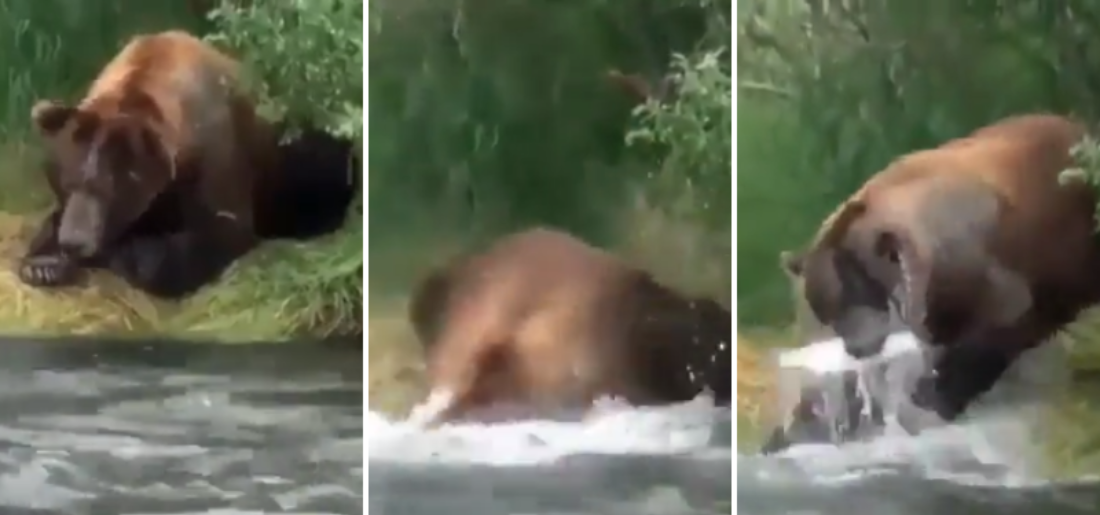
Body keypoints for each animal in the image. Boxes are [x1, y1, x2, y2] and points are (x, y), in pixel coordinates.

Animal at [18, 30, 281, 299]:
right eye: (67, 182)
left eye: (107, 189)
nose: (73, 243)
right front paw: (43, 265)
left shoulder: (215, 153)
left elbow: (223, 223)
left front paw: (135, 256)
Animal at [778, 113, 1100, 433]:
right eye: (827, 312)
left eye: (857, 288)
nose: (857, 347)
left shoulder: (985, 269)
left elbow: (998, 325)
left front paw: (933, 396)